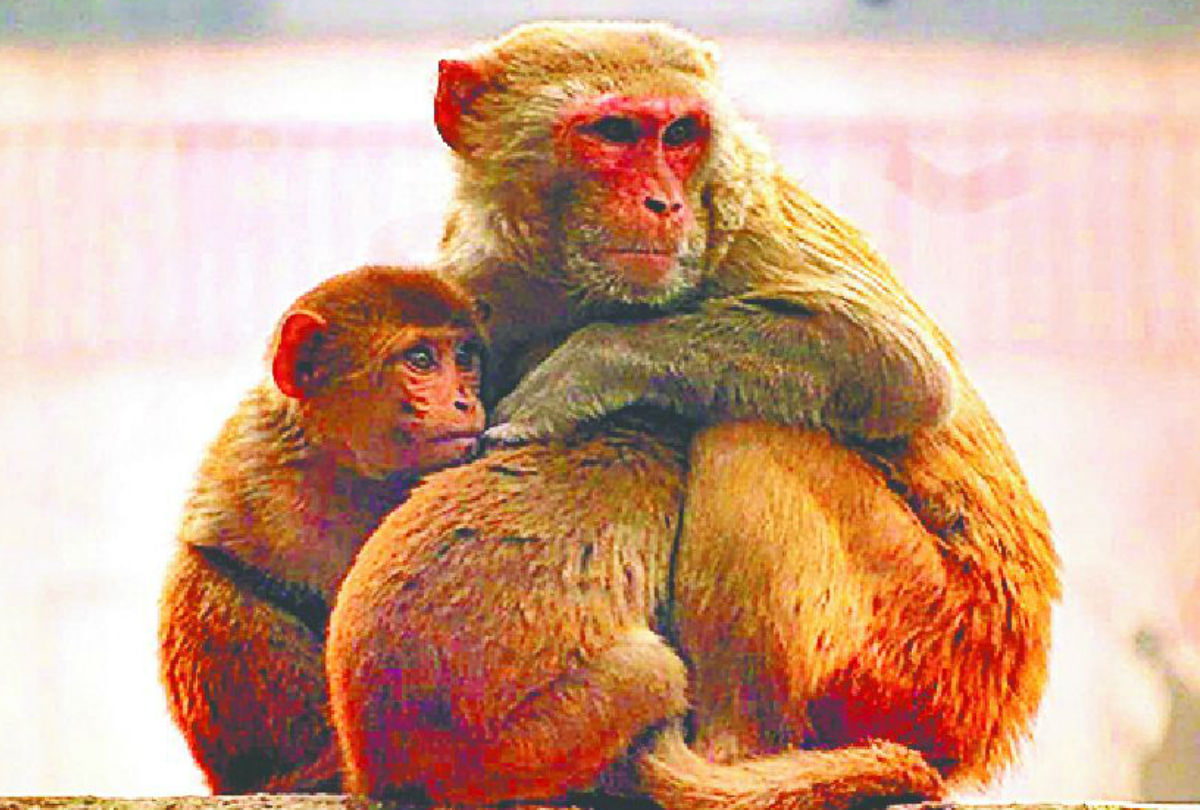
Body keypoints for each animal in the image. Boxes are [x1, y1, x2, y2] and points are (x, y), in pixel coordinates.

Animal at [158, 265, 486, 794]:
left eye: (465, 358)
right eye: (420, 359)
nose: (464, 400)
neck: (352, 473)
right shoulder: (249, 462)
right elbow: (219, 558)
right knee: (205, 580)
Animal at [326, 20, 1058, 810]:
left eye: (680, 133)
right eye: (613, 132)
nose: (665, 204)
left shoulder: (743, 215)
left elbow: (896, 363)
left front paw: (589, 367)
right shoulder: (477, 278)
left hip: (927, 656)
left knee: (750, 439)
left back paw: (727, 761)